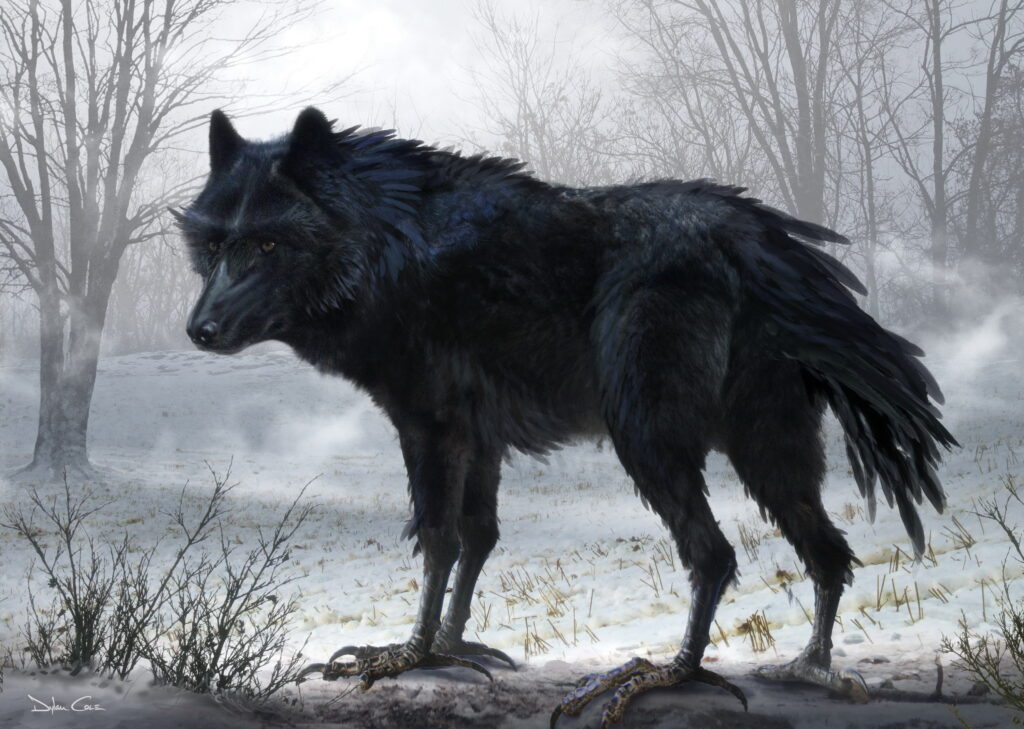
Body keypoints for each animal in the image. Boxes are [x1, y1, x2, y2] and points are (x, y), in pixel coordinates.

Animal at [178, 107, 956, 727]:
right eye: (215, 245)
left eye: (270, 244)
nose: (200, 330)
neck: (387, 243)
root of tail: (759, 241)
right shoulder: (478, 436)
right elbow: (478, 538)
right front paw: (455, 647)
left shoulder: (429, 426)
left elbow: (437, 541)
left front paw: (407, 653)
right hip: (768, 445)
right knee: (828, 552)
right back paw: (811, 667)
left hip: (649, 438)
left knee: (716, 554)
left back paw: (661, 673)